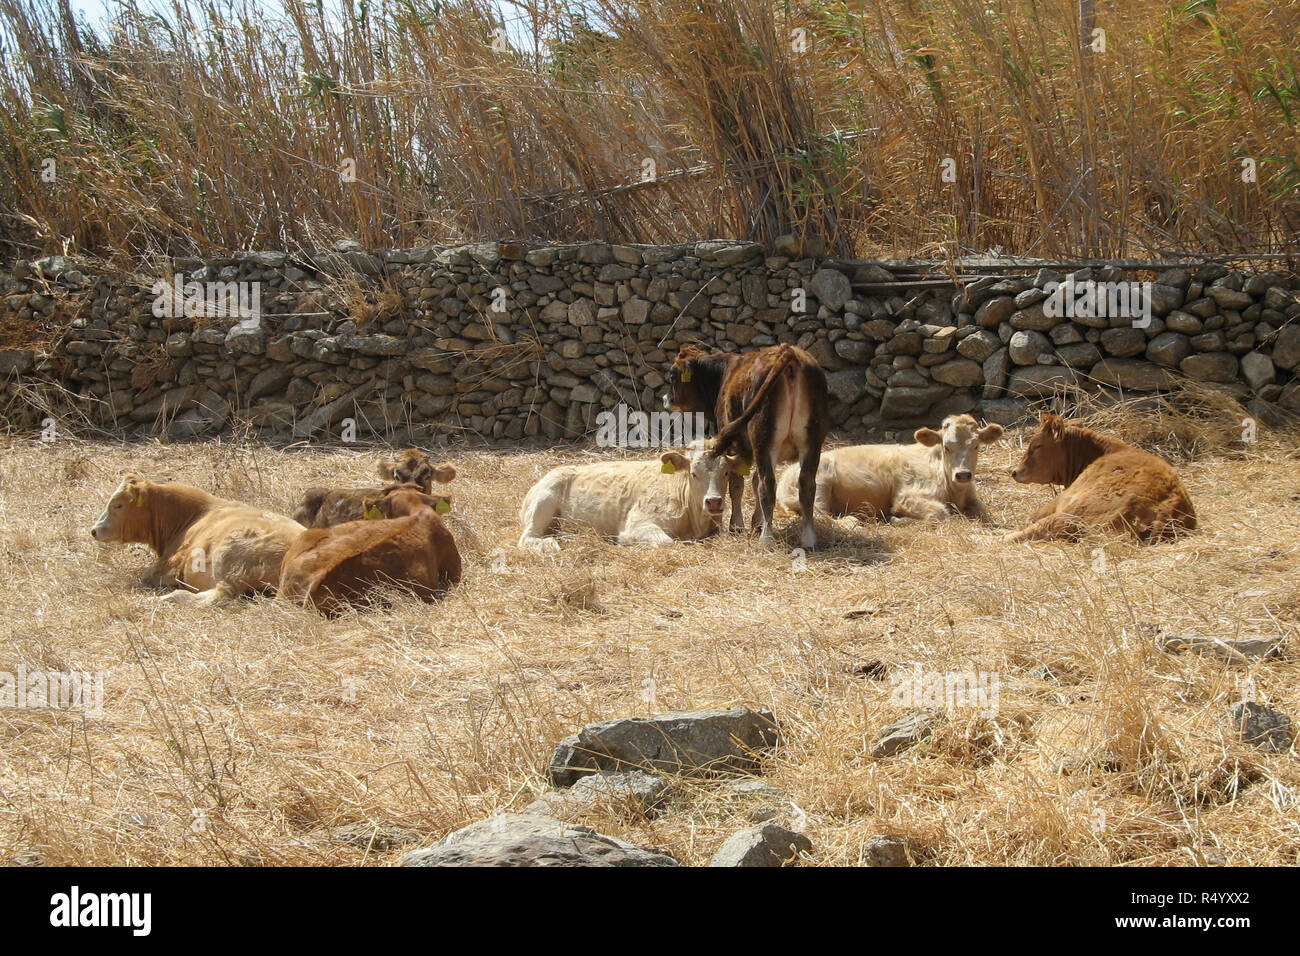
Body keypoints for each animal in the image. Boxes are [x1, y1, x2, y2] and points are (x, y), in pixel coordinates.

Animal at [90, 475, 303, 605]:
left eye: (118, 505)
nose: (94, 530)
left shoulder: (168, 565)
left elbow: (145, 577)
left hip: (230, 559)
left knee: (220, 596)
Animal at [517, 440, 741, 550]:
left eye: (726, 473)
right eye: (694, 473)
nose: (714, 502)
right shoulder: (636, 524)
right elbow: (666, 542)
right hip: (543, 503)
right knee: (528, 537)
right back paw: (551, 544)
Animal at [665, 343, 829, 548]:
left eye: (672, 374)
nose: (665, 399)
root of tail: (788, 351)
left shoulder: (735, 448)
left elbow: (737, 484)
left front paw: (737, 525)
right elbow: (754, 481)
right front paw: (756, 523)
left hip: (764, 441)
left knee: (768, 486)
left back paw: (766, 539)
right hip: (811, 443)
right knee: (806, 484)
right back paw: (808, 539)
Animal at [776, 414, 1005, 521]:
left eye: (976, 446)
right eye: (946, 447)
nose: (963, 475)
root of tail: (784, 477)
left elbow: (982, 509)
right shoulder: (907, 496)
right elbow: (940, 513)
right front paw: (898, 519)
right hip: (819, 485)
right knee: (820, 515)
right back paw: (852, 521)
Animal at [1006, 413, 1197, 542]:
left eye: (1037, 445)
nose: (1015, 471)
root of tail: (1168, 504)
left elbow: (1032, 515)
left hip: (1077, 510)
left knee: (1042, 527)